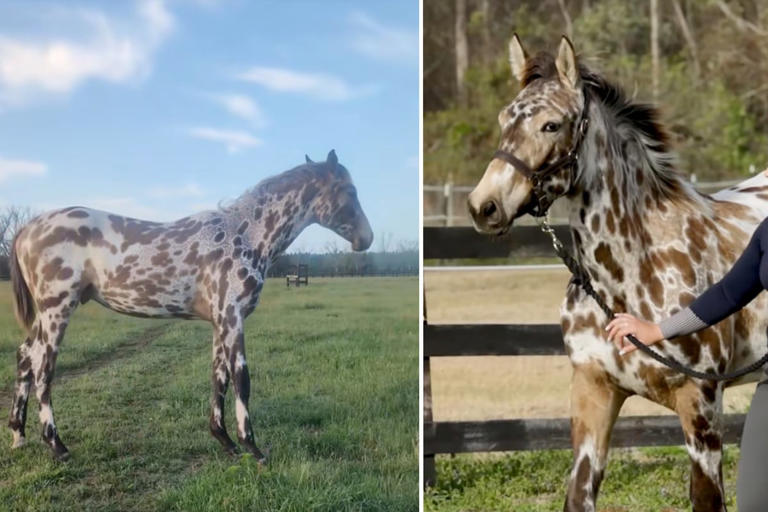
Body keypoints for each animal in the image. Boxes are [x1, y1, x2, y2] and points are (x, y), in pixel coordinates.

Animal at [7, 149, 373, 462]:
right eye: (349, 190)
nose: (366, 239)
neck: (243, 235)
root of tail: (27, 229)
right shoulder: (232, 318)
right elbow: (242, 380)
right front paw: (253, 449)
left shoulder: (219, 323)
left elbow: (218, 379)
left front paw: (225, 441)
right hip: (57, 311)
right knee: (43, 369)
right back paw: (56, 445)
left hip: (44, 316)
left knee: (25, 357)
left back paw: (18, 435)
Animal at [467, 35, 768, 512]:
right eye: (503, 120)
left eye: (551, 125)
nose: (484, 206)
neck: (627, 277)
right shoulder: (594, 390)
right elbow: (579, 494)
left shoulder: (700, 405)